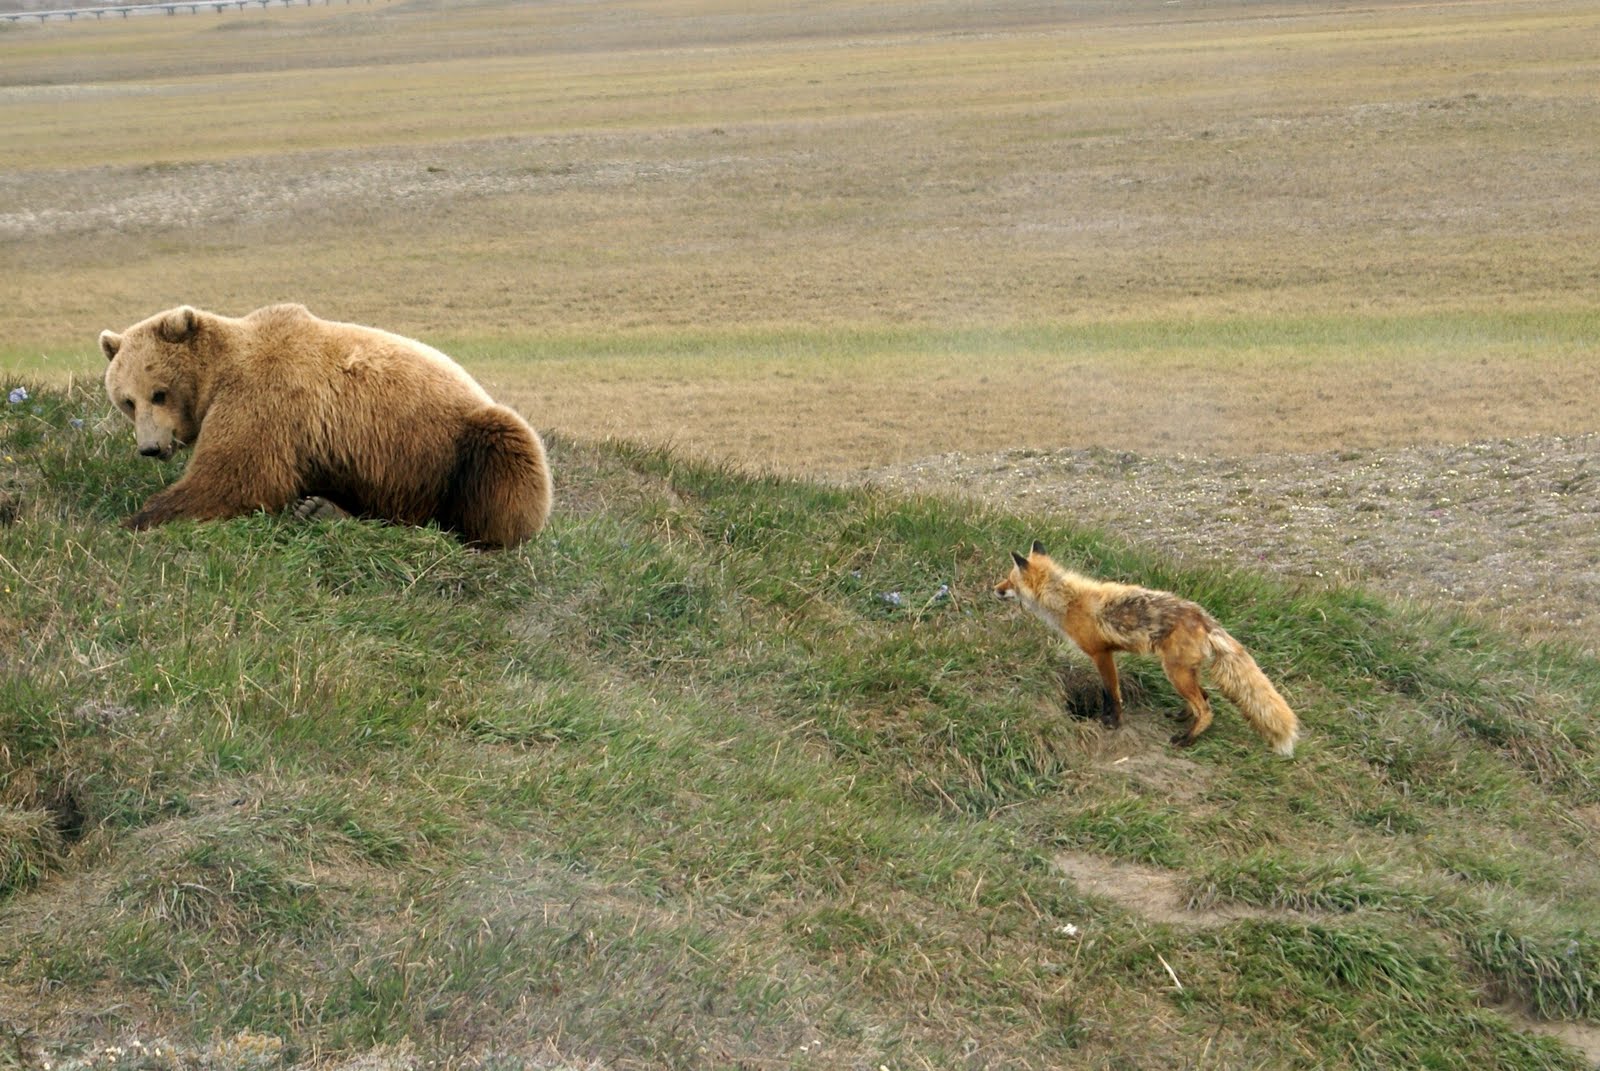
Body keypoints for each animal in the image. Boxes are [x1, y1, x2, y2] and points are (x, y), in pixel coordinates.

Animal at [100, 303, 552, 549]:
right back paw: (320, 509)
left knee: (505, 448)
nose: (150, 448)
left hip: (449, 448)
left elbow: (236, 477)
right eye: (127, 400)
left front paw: (134, 520)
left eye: (159, 393)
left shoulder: (265, 397)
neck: (220, 374)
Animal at [995, 542, 1299, 756]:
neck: (1067, 600)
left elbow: (1113, 694)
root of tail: (1203, 617)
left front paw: (1114, 723)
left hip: (1175, 673)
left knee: (1206, 708)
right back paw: (1182, 717)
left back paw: (1186, 739)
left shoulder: (1101, 654)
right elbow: (1106, 694)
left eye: (1010, 579)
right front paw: (1106, 718)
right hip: (1185, 673)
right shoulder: (1105, 655)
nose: (994, 589)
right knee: (1204, 697)